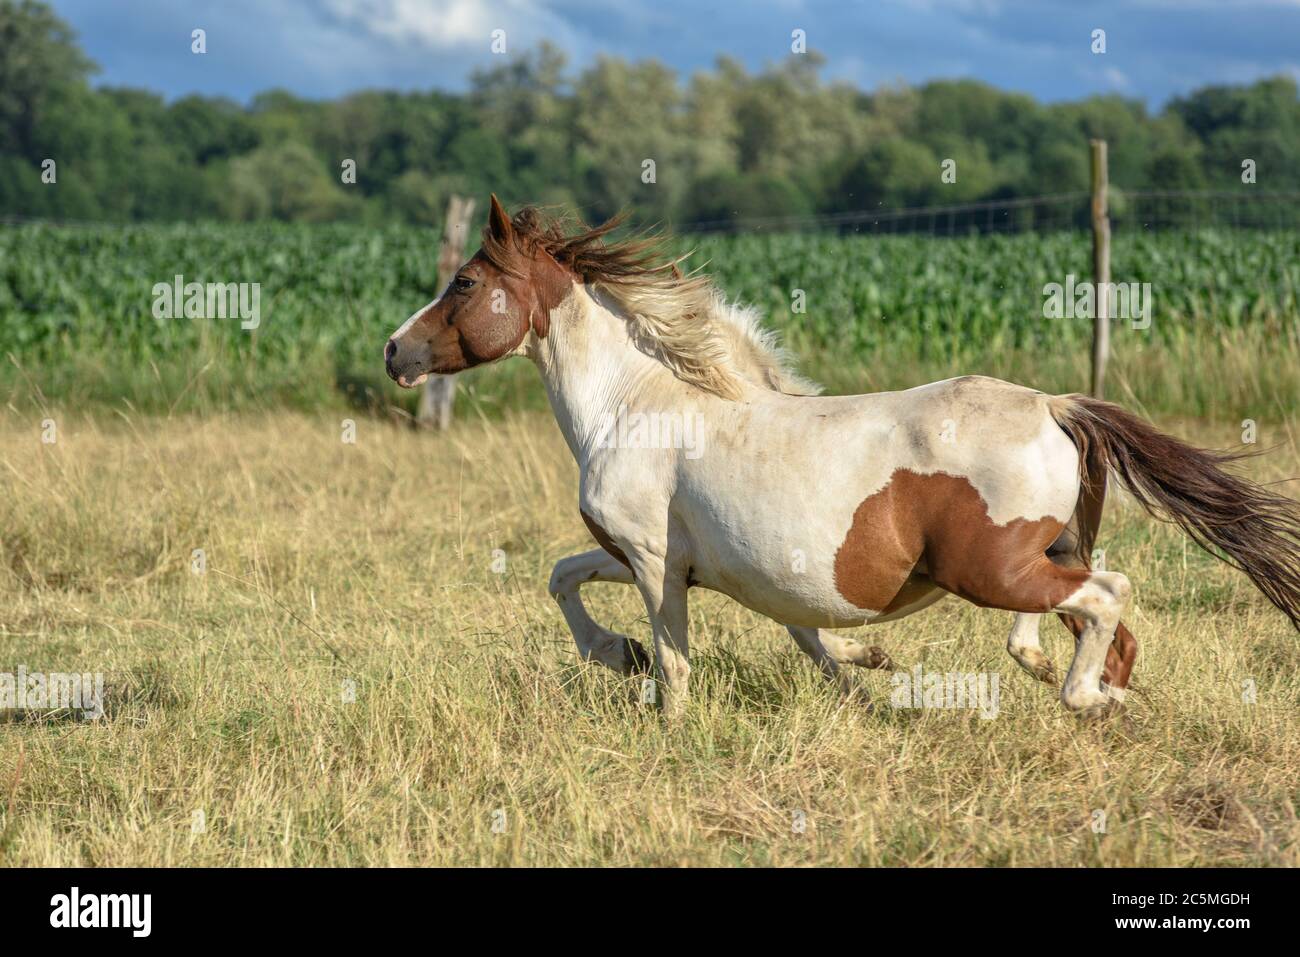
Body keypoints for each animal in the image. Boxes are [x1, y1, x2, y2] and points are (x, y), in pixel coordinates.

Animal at [385, 194, 1300, 719]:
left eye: (465, 282)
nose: (395, 352)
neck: (634, 406)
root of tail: (1054, 404)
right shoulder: (668, 560)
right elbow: (565, 575)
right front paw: (622, 653)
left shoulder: (649, 559)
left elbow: (676, 665)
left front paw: (659, 703)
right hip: (1046, 554)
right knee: (1101, 627)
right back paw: (1097, 693)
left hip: (992, 566)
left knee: (1109, 596)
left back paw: (1080, 695)